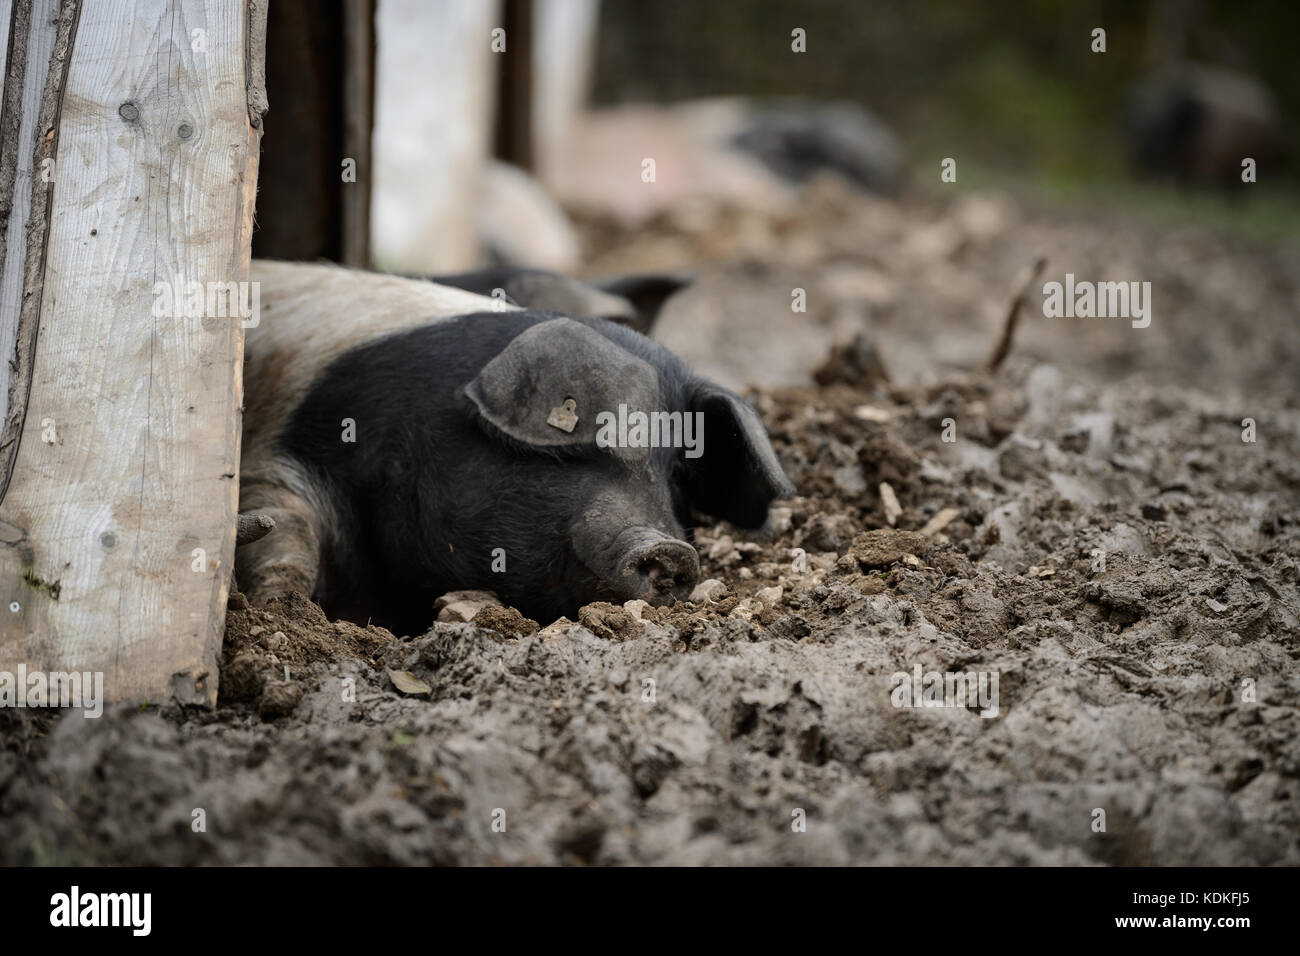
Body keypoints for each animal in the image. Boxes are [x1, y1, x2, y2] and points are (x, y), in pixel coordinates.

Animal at [238, 261, 793, 634]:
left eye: (679, 471)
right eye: (583, 448)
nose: (673, 551)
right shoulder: (273, 464)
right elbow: (281, 531)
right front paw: (278, 611)